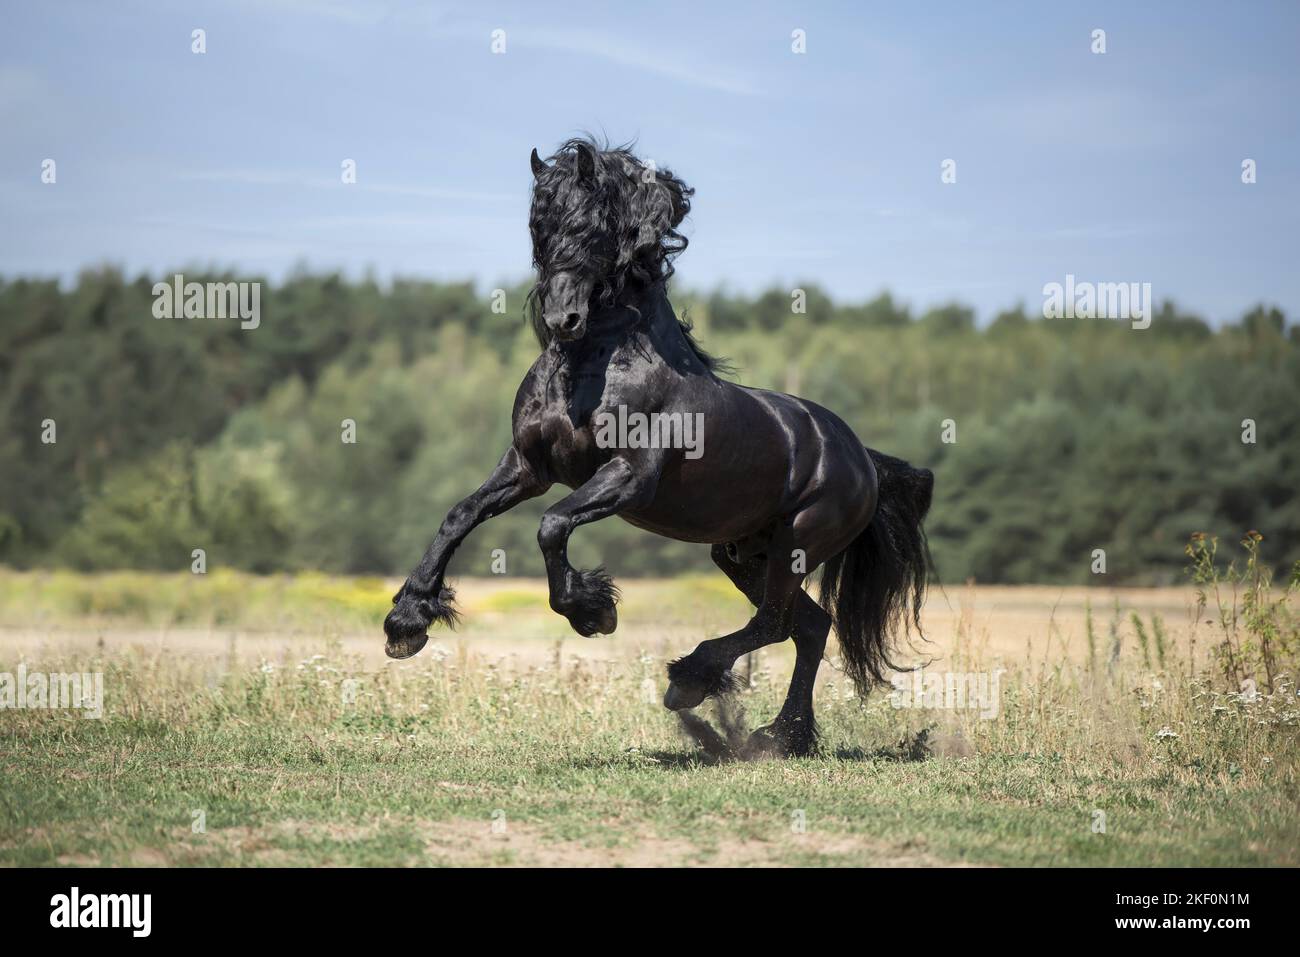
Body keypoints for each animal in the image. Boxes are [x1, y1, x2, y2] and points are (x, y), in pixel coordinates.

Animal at [383, 137, 934, 756]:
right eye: (538, 225)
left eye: (594, 228)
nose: (562, 318)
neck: (594, 365)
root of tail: (863, 459)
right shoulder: (528, 467)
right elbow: (460, 515)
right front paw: (407, 621)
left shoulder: (628, 477)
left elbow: (552, 525)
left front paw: (592, 612)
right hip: (743, 552)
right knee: (808, 627)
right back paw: (781, 735)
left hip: (798, 542)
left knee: (775, 623)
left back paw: (693, 680)